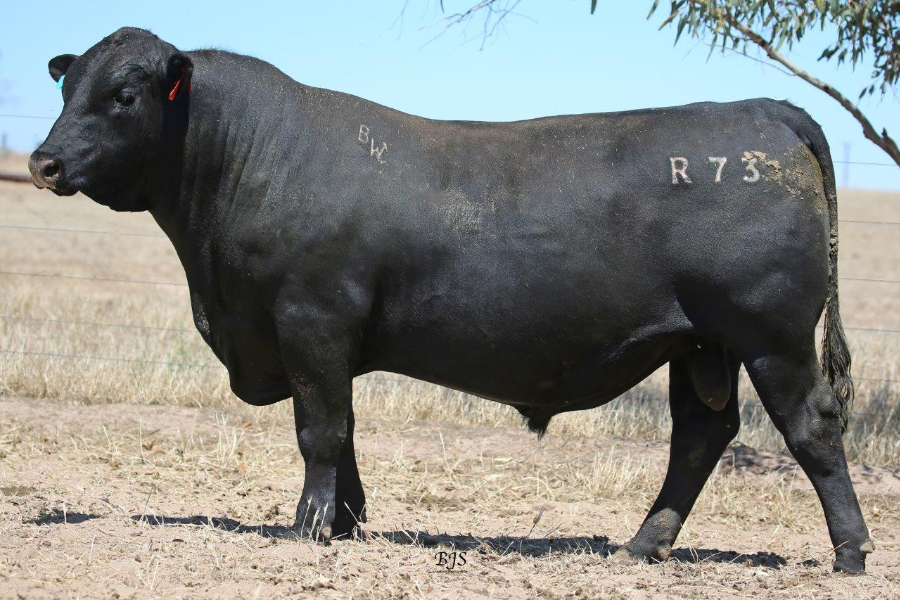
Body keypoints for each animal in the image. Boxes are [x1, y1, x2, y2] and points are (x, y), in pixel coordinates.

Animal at [29, 27, 872, 573]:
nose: (43, 161)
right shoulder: (321, 344)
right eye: (67, 88)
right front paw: (348, 521)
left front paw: (308, 527)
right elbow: (345, 430)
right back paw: (644, 544)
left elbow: (320, 431)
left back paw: (850, 552)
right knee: (701, 434)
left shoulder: (310, 321)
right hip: (699, 343)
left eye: (124, 94)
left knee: (811, 428)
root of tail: (762, 108)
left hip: (770, 336)